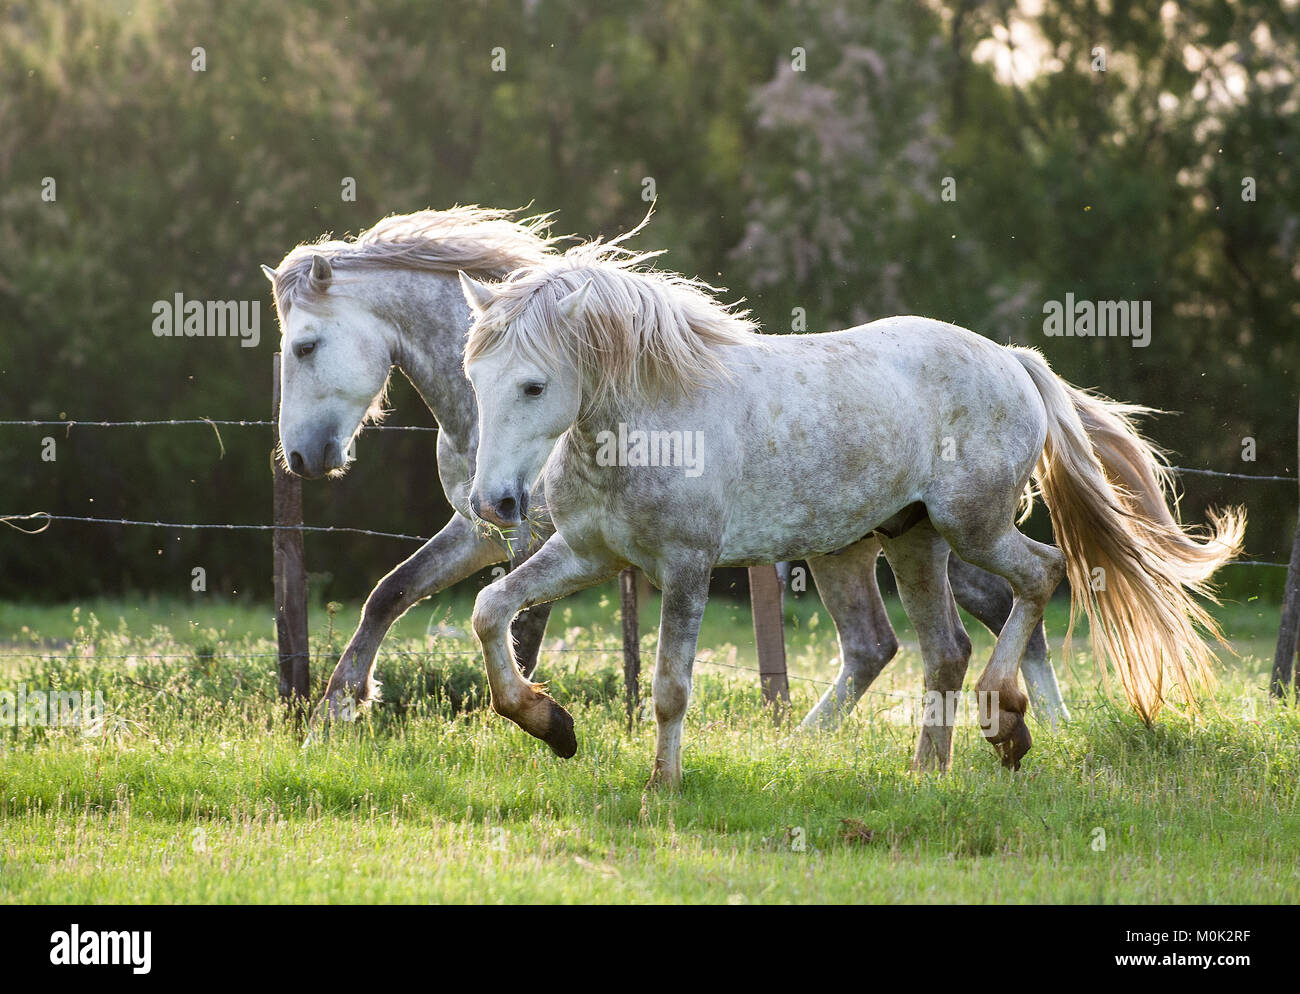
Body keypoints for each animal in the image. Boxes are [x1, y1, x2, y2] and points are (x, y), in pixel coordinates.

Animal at [264, 206, 1070, 729]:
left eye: (304, 345)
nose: (302, 457)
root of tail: (1010, 359)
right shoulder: (487, 531)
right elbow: (393, 593)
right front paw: (338, 706)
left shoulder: (537, 535)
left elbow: (521, 627)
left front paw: (522, 720)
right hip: (855, 544)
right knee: (887, 643)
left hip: (949, 530)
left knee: (1013, 598)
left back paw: (1039, 723)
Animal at [457, 234, 1245, 785]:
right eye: (474, 375)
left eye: (533, 385)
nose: (494, 502)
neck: (650, 419)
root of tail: (1011, 360)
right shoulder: (590, 554)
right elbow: (492, 610)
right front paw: (551, 725)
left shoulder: (686, 568)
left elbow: (671, 688)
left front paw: (663, 786)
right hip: (903, 542)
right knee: (932, 649)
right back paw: (923, 769)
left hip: (971, 528)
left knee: (1041, 575)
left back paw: (1004, 722)